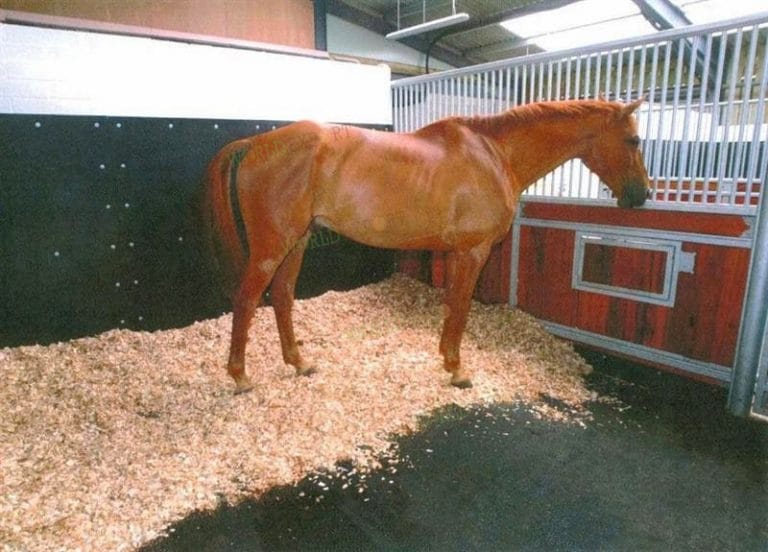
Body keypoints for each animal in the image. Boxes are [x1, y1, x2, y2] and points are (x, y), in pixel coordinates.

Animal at [201, 98, 650, 394]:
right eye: (634, 140)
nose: (643, 195)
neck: (494, 154)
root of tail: (254, 144)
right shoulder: (473, 251)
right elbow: (462, 307)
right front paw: (458, 370)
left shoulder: (452, 253)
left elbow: (451, 305)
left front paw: (446, 360)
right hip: (272, 247)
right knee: (246, 301)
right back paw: (240, 377)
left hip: (297, 243)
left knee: (281, 296)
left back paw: (299, 363)